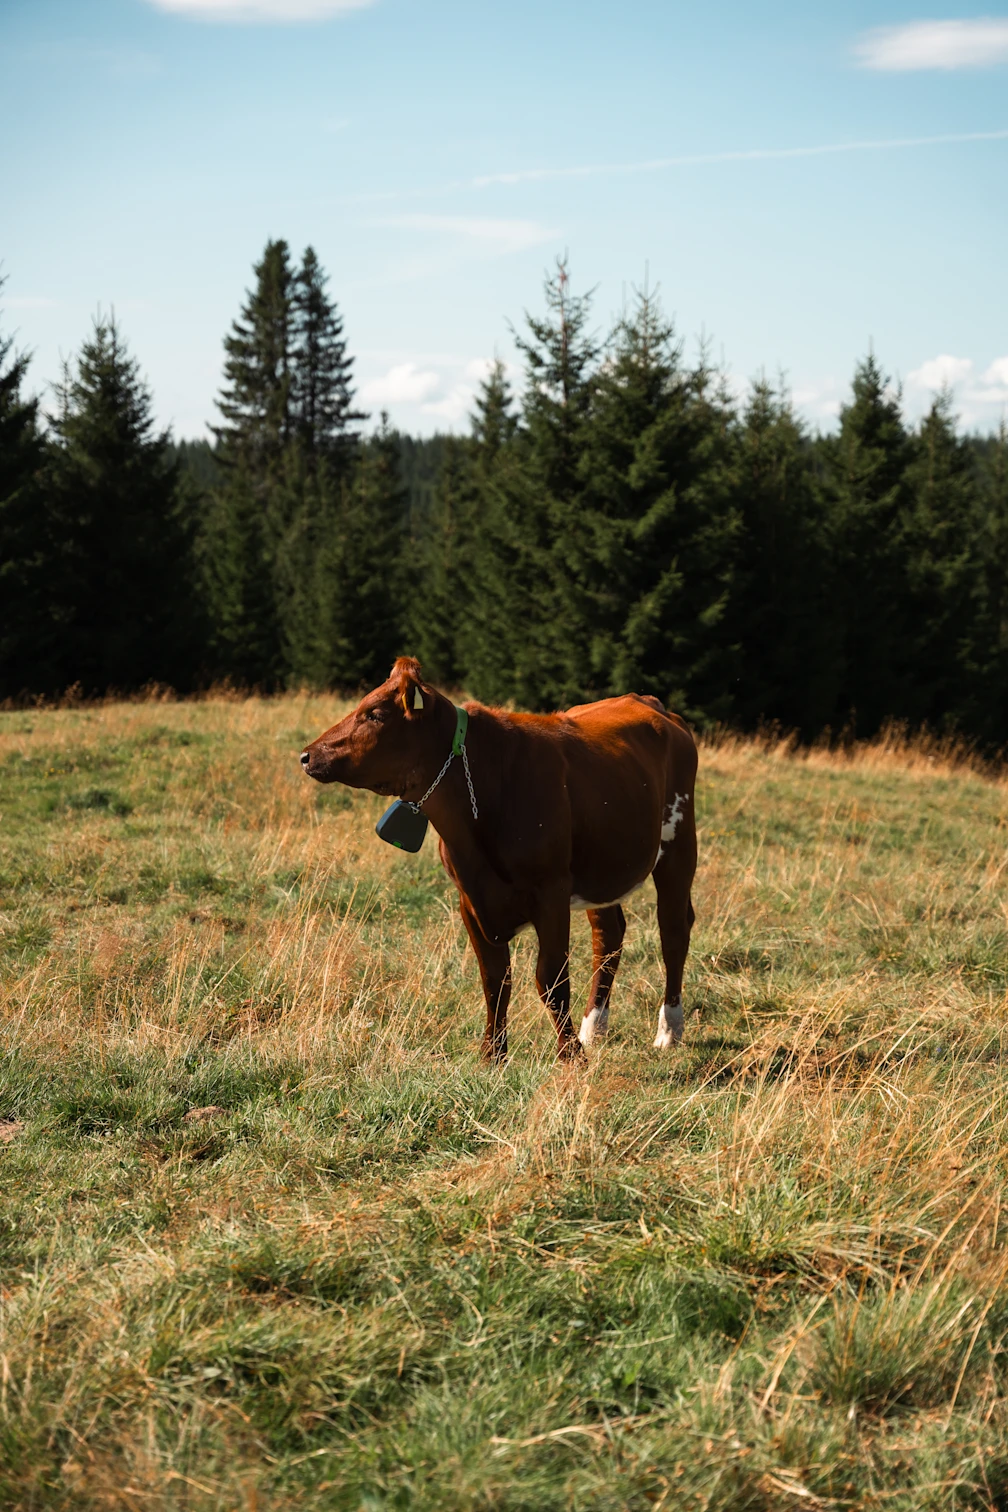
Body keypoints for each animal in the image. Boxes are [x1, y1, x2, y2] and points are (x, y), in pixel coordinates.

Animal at [300, 657, 698, 1063]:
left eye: (376, 713)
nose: (308, 755)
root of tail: (647, 702)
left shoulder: (551, 891)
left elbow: (551, 979)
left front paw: (570, 1056)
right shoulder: (470, 900)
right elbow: (495, 979)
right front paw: (493, 1055)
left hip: (679, 844)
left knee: (673, 932)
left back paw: (669, 1030)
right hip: (604, 866)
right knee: (609, 935)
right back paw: (594, 1028)